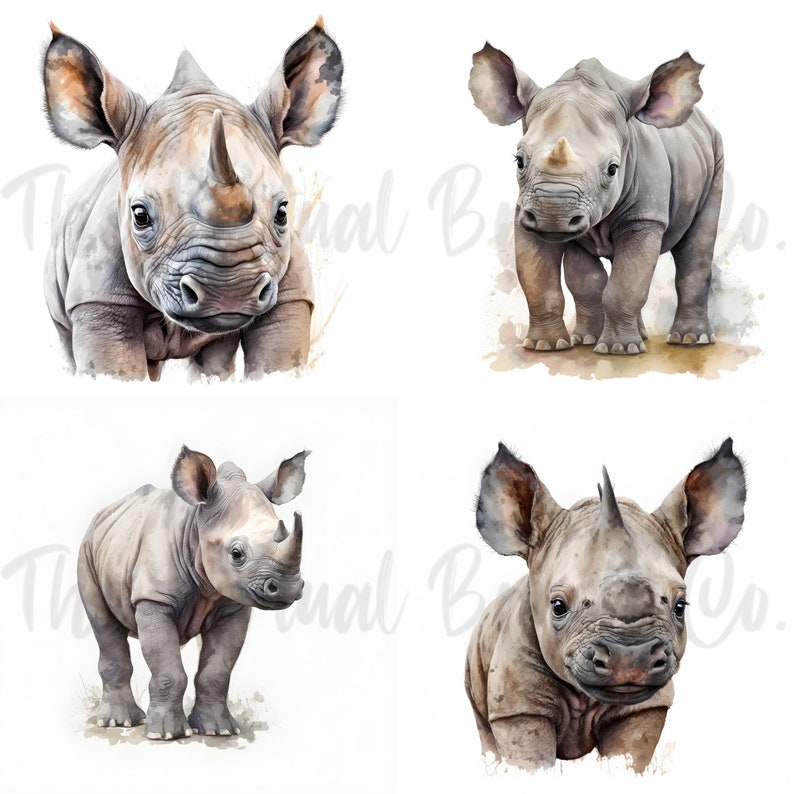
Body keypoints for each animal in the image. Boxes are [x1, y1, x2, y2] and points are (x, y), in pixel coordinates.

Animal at [42, 20, 343, 379]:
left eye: (282, 213)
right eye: (140, 216)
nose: (229, 292)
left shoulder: (290, 290)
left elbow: (276, 360)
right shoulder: (98, 296)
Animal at [77, 446, 309, 739]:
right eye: (236, 554)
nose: (289, 588)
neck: (196, 526)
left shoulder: (233, 606)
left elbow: (218, 670)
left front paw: (218, 730)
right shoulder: (154, 598)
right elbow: (168, 670)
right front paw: (166, 735)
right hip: (87, 549)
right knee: (104, 624)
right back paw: (121, 722)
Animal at [466, 439, 746, 771]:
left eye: (680, 606)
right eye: (558, 606)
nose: (631, 659)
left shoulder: (644, 708)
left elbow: (627, 758)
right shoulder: (516, 707)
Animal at [469, 45, 723, 355]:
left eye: (613, 169)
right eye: (519, 161)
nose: (552, 214)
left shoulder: (645, 218)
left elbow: (626, 283)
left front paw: (618, 350)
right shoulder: (526, 211)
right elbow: (556, 281)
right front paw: (547, 345)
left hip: (715, 151)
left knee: (696, 246)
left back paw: (689, 341)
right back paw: (618, 337)